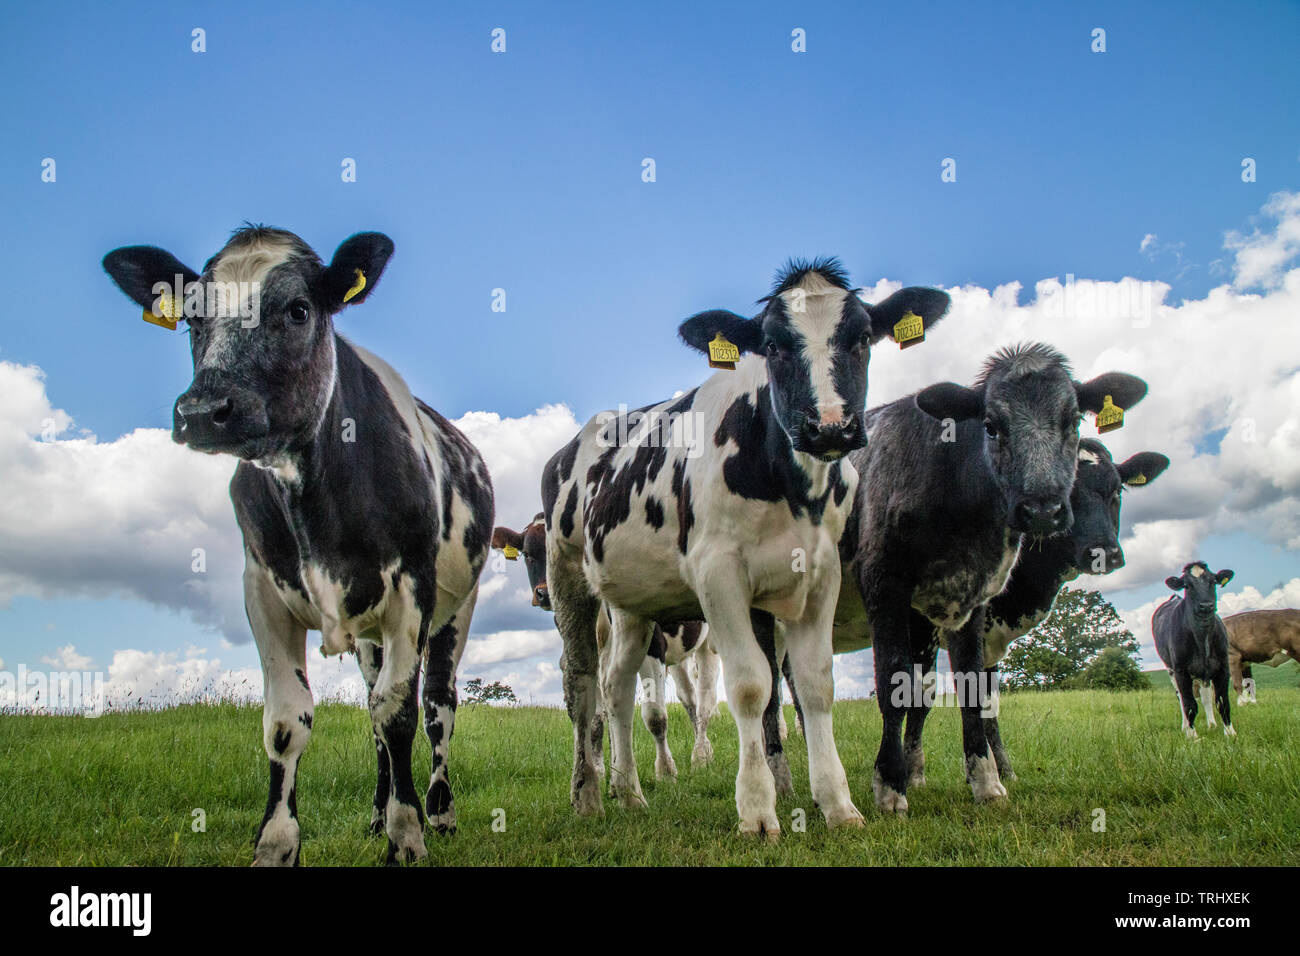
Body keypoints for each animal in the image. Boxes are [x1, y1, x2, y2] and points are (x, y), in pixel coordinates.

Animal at [102, 226, 494, 865]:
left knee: (437, 708)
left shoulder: (412, 588)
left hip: (456, 609)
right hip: (368, 634)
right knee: (371, 706)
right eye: (191, 317)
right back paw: (375, 814)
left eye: (298, 310)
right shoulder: (262, 589)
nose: (203, 412)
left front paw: (407, 835)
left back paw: (439, 811)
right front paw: (277, 841)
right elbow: (289, 721)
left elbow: (400, 714)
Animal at [490, 517, 721, 773]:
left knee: (705, 703)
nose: (545, 594)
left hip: (708, 643)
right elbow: (597, 720)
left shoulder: (653, 647)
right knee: (689, 698)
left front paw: (665, 771)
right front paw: (603, 770)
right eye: (528, 554)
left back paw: (700, 756)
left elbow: (655, 715)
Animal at [542, 257, 951, 836]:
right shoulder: (719, 574)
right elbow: (752, 688)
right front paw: (757, 810)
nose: (830, 426)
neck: (790, 485)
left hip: (631, 603)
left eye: (862, 338)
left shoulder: (822, 574)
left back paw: (631, 793)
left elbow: (815, 685)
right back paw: (588, 795)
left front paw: (838, 805)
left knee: (617, 686)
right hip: (566, 574)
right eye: (773, 345)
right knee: (581, 685)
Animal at [838, 343, 1147, 813]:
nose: (1042, 509)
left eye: (1073, 420)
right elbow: (896, 685)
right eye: (990, 426)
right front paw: (892, 784)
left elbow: (970, 695)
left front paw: (987, 779)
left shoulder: (969, 605)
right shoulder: (886, 587)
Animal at [1152, 562, 1237, 738]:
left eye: (1213, 581)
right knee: (1181, 697)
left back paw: (1212, 724)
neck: (1202, 636)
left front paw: (1230, 733)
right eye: (1188, 585)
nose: (1206, 605)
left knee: (1205, 696)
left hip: (1204, 671)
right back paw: (1185, 726)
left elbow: (1222, 701)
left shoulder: (1223, 667)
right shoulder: (1181, 671)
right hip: (1171, 670)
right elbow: (1189, 704)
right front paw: (1192, 736)